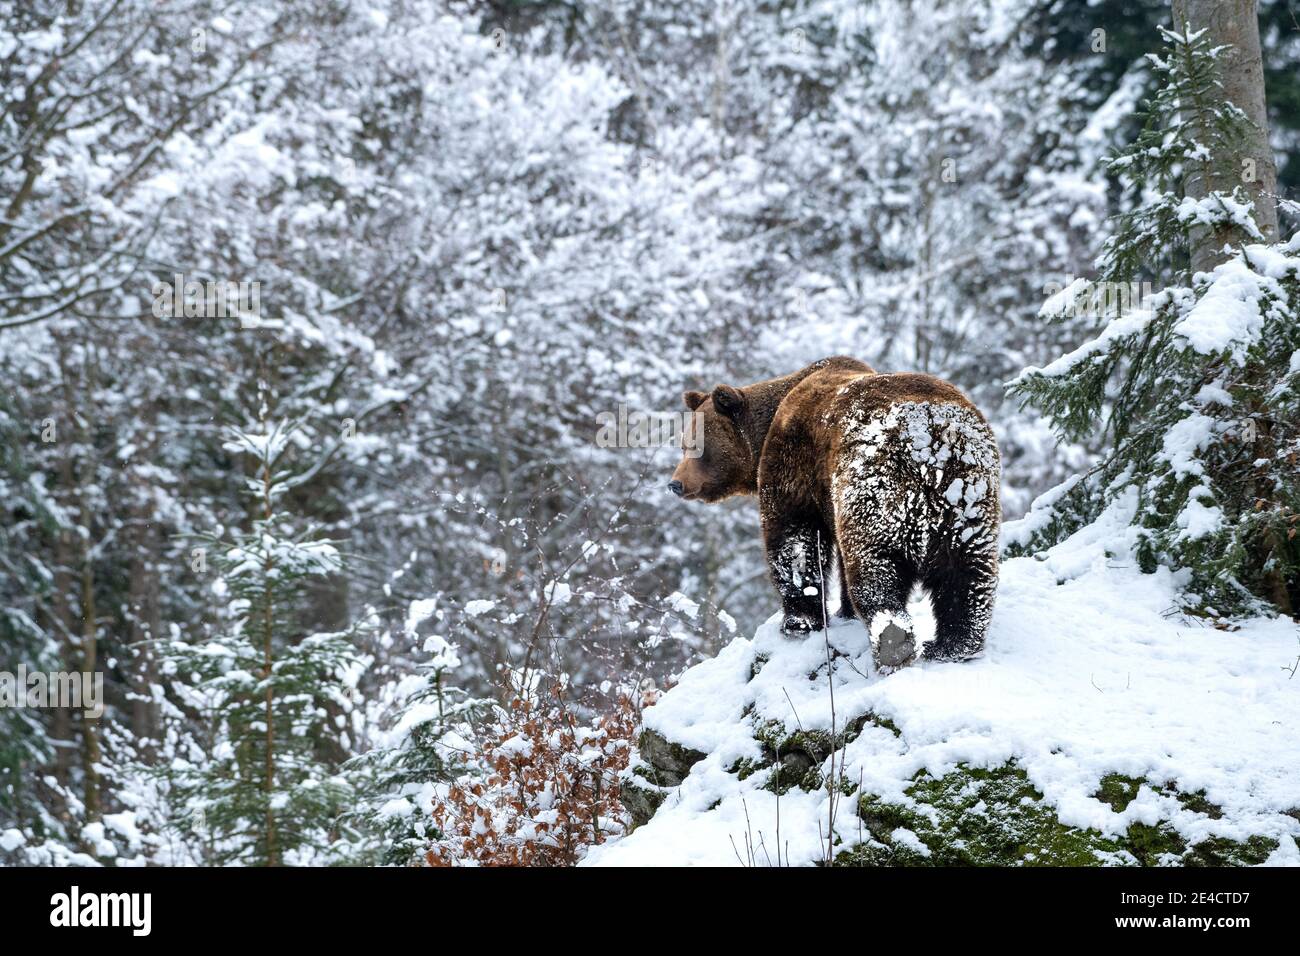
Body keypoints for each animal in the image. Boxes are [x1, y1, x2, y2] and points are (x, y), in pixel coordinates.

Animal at [669, 355, 1000, 671]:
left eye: (694, 445)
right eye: (684, 442)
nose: (676, 483)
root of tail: (928, 437)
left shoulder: (795, 466)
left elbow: (793, 542)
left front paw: (798, 622)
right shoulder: (830, 496)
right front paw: (843, 612)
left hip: (874, 482)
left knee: (874, 564)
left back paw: (893, 640)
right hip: (966, 497)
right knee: (966, 571)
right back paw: (951, 646)